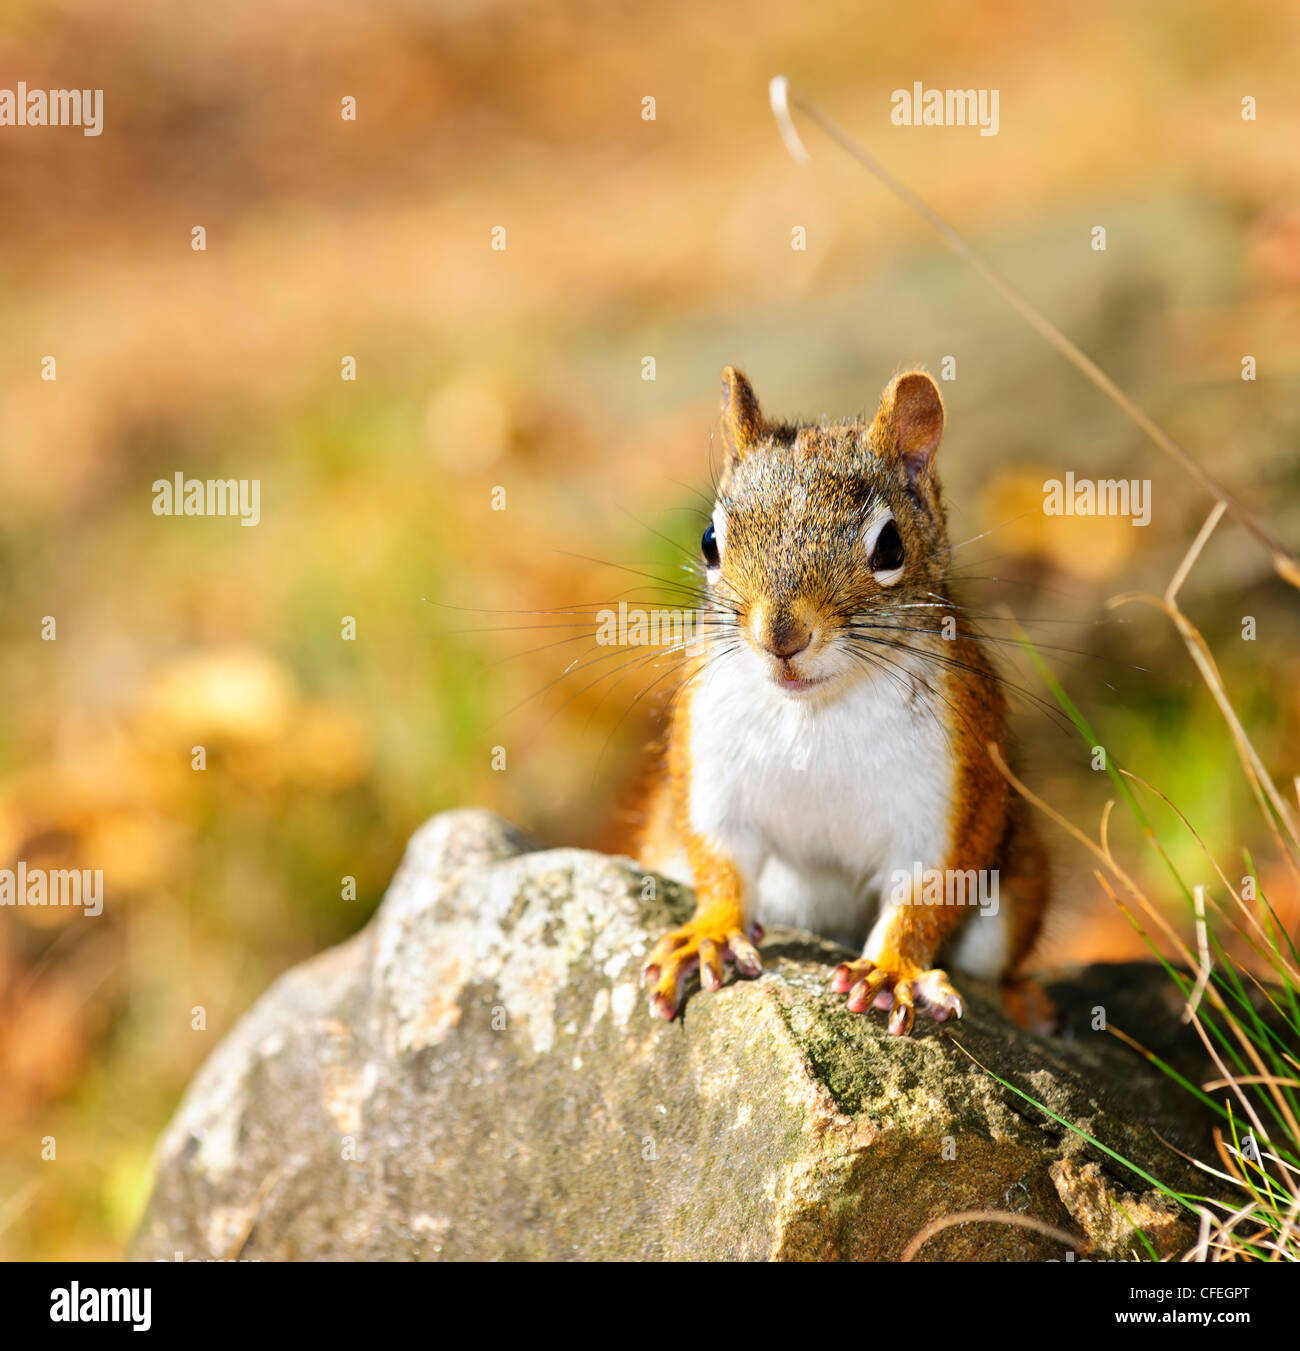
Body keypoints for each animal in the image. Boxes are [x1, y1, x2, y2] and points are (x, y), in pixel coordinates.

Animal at [637, 366, 1051, 1035]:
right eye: (709, 542)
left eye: (890, 548)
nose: (781, 638)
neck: (815, 710)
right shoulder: (709, 758)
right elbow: (720, 855)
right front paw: (710, 932)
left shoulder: (955, 785)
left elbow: (928, 889)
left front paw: (890, 969)